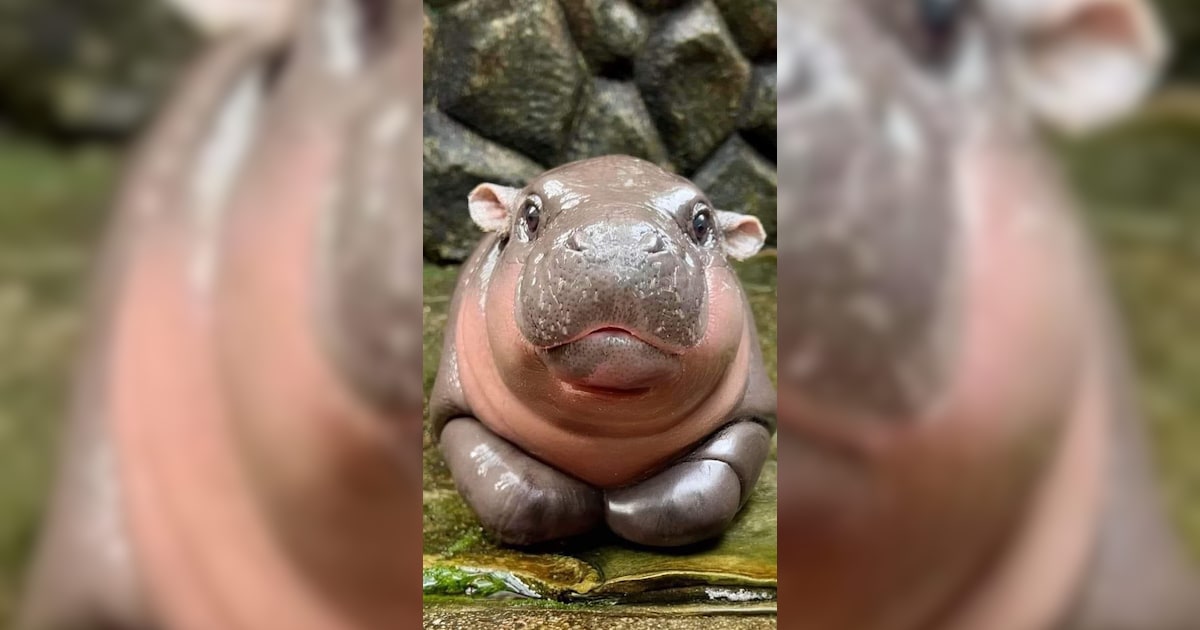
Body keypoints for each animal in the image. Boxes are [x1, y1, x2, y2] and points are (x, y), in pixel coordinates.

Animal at [429, 155, 776, 547]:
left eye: (702, 223)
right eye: (530, 214)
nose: (617, 242)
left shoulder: (755, 416)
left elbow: (702, 491)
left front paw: (625, 507)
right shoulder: (454, 413)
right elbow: (518, 494)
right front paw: (583, 505)